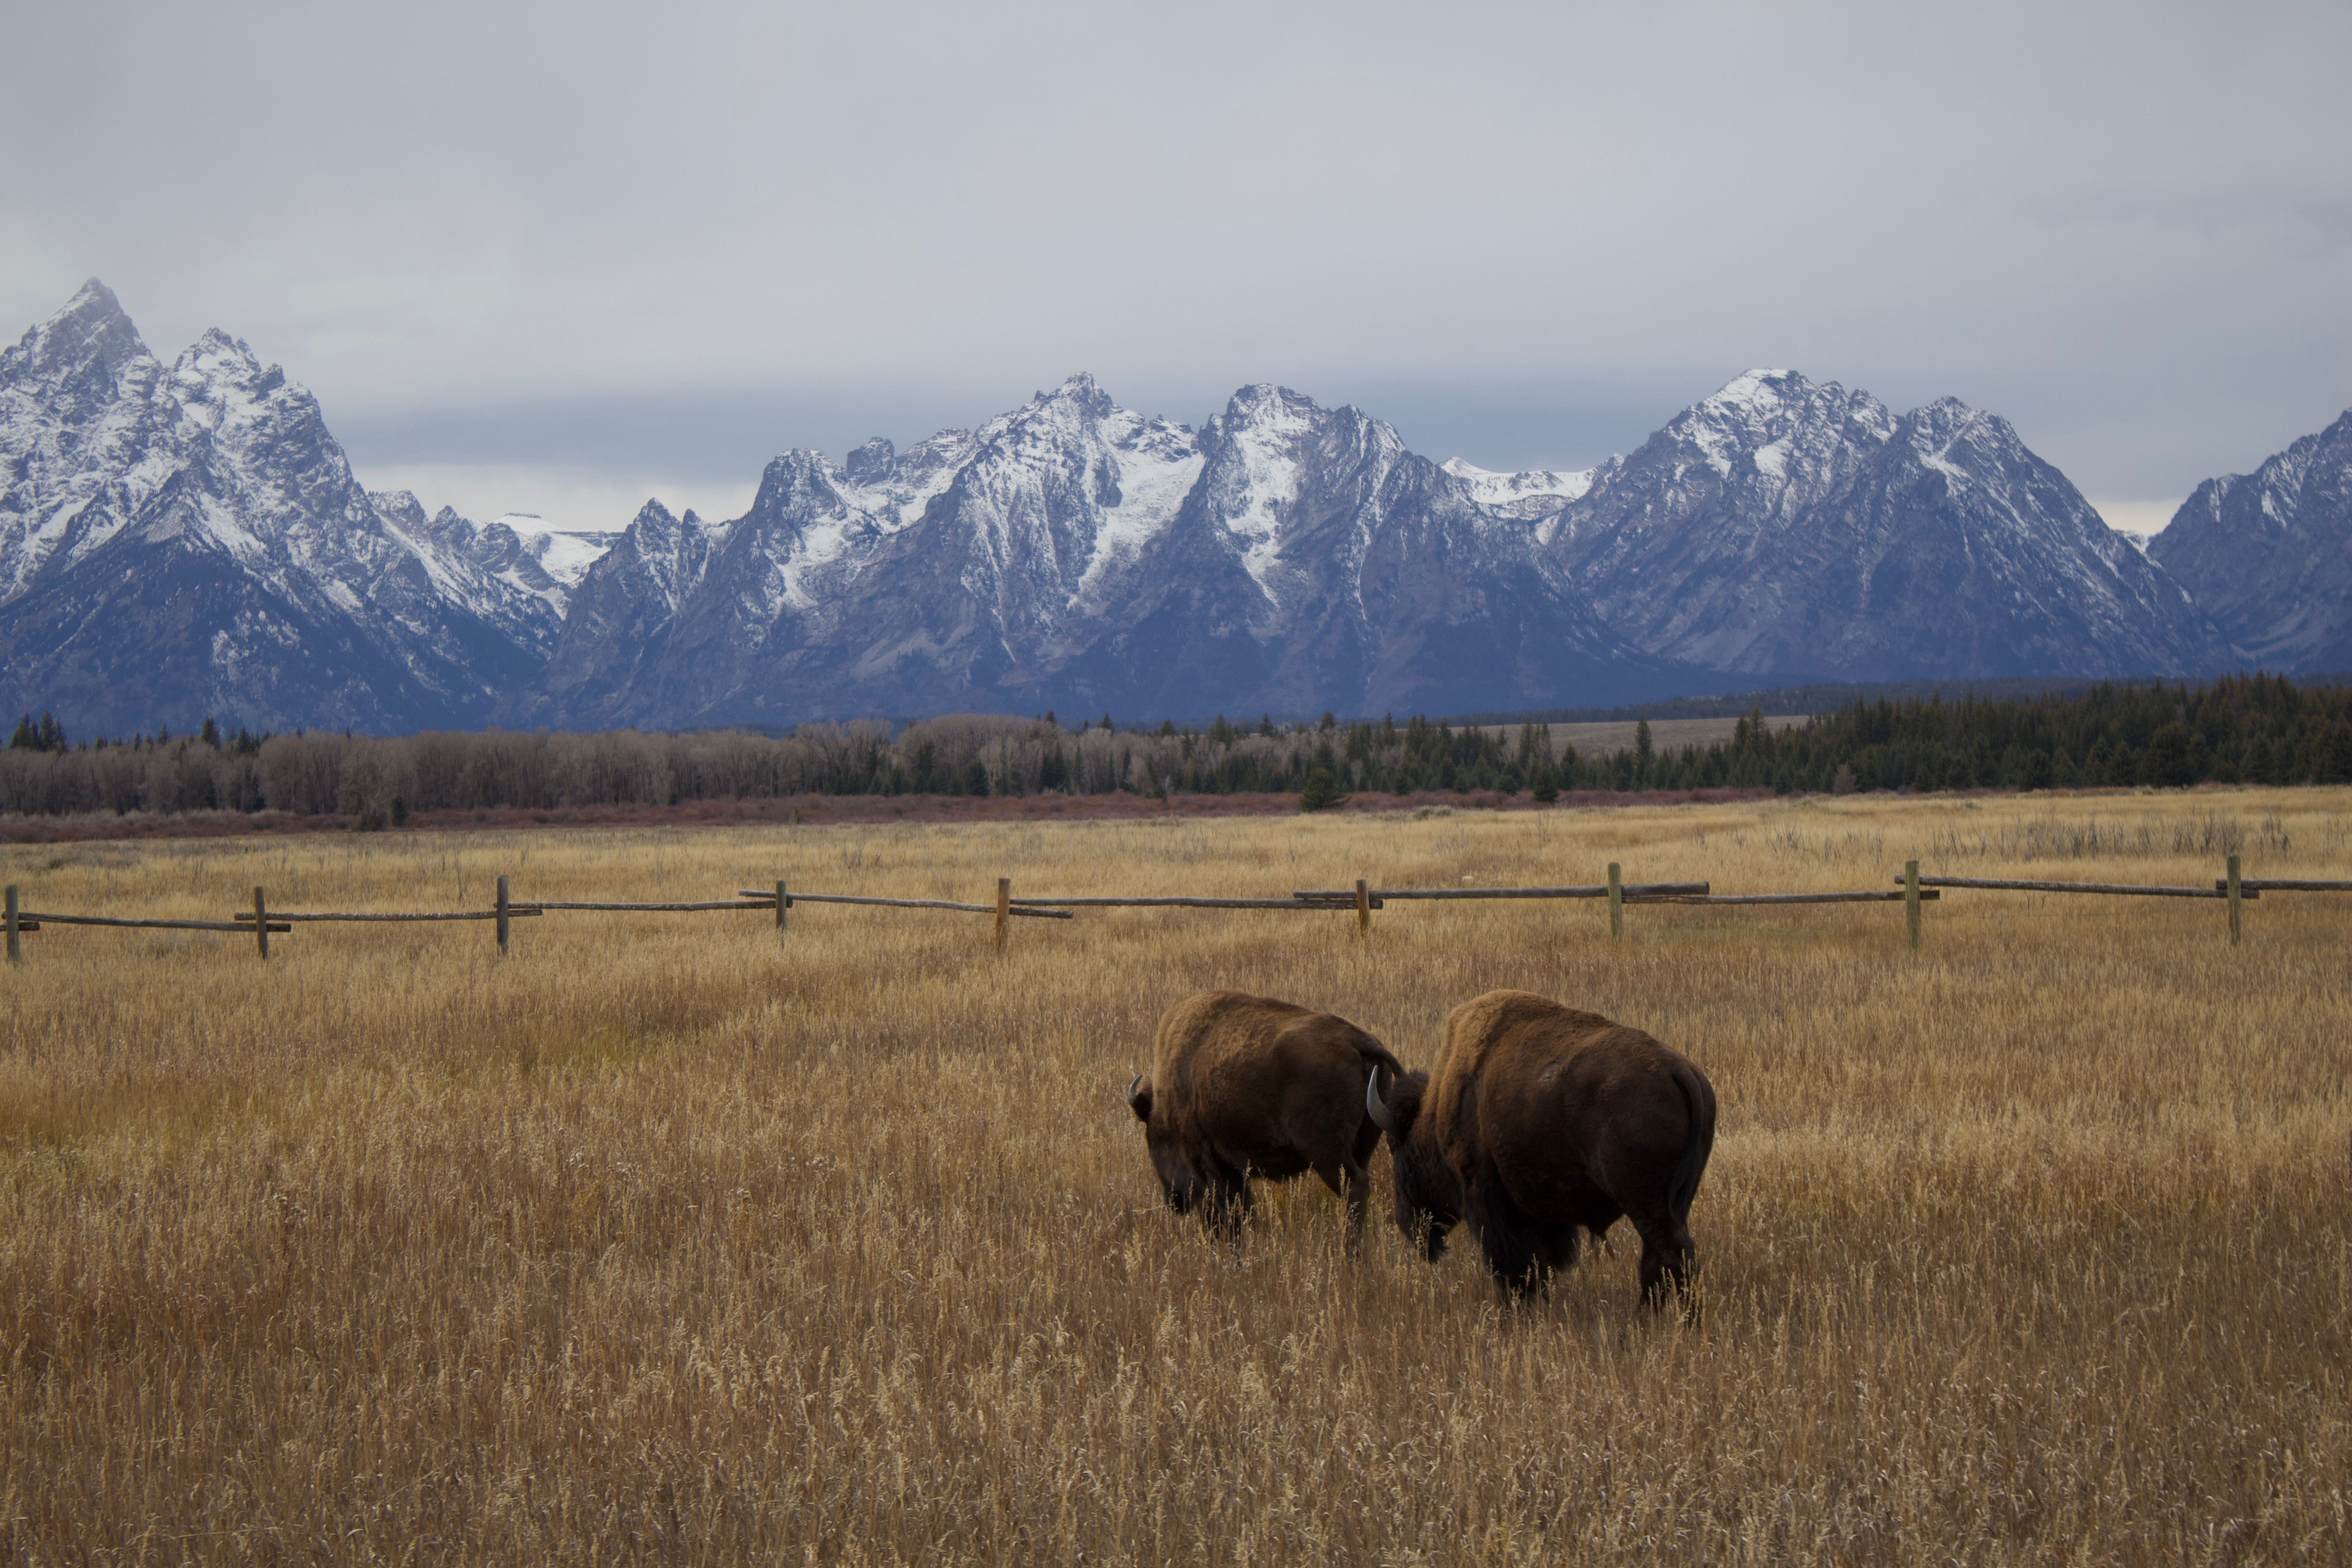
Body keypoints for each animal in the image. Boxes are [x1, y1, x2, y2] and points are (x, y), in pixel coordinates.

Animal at [1127, 990, 1405, 1240]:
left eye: (1155, 1139)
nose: (1175, 1201)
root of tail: (1359, 1042)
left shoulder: (1205, 1160)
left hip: (1326, 1151)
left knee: (1355, 1185)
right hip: (1362, 1144)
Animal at [1364, 989, 1716, 1312]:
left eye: (1395, 1148)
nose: (1409, 1226)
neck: (1440, 1108)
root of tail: (1679, 1071)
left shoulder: (1487, 1194)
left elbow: (1511, 1264)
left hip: (1645, 1202)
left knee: (1672, 1254)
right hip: (1674, 1201)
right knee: (1658, 1261)